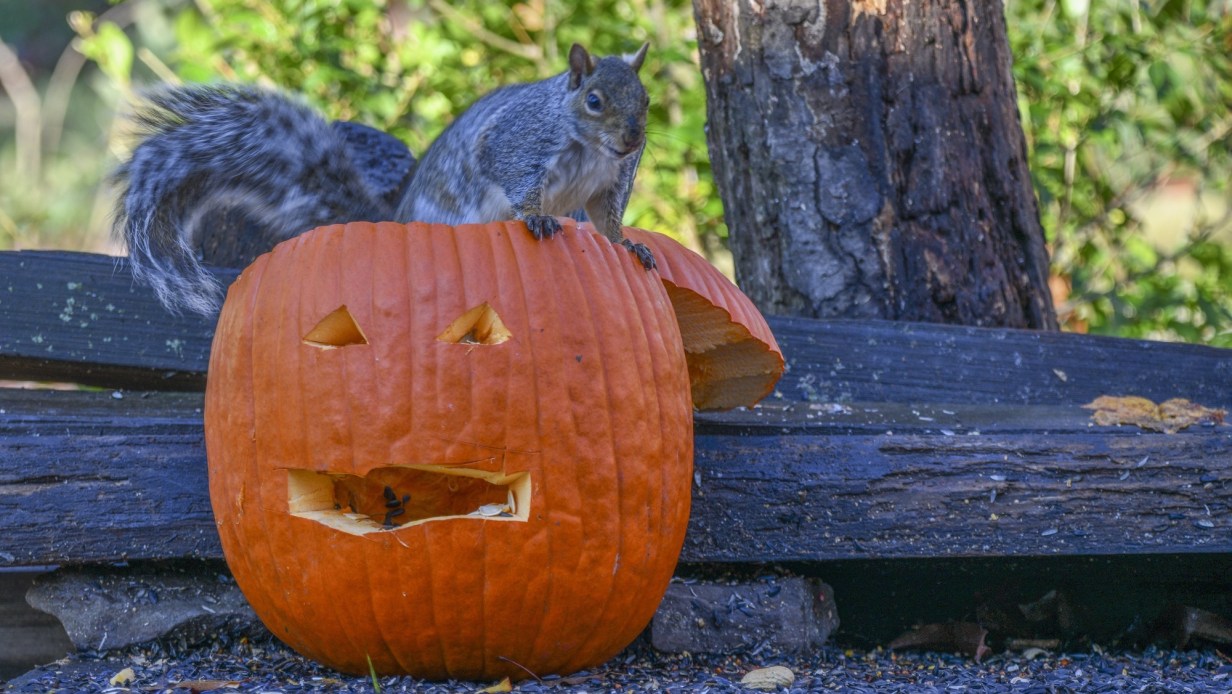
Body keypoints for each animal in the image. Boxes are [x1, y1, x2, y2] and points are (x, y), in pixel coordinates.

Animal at [111, 42, 653, 315]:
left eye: (645, 100)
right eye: (594, 101)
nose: (633, 139)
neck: (591, 149)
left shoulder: (612, 181)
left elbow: (606, 221)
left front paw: (627, 244)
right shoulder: (517, 143)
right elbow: (515, 180)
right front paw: (537, 217)